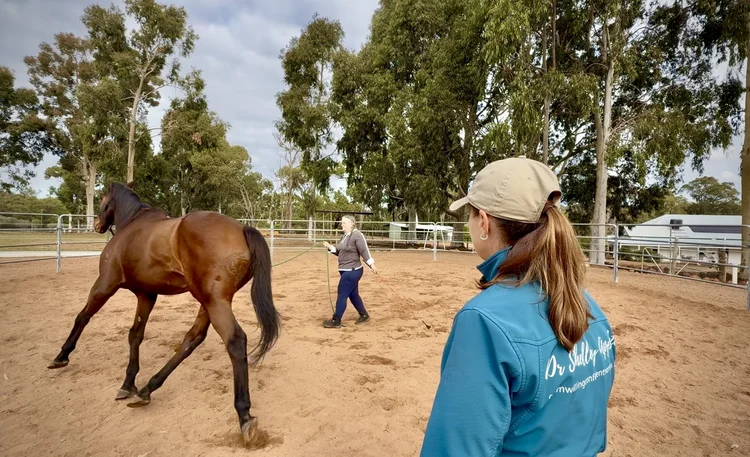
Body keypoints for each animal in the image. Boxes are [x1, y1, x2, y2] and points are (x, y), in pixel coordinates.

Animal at [47, 181, 280, 446]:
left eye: (103, 199)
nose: (97, 225)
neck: (133, 225)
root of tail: (242, 229)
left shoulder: (105, 283)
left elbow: (83, 316)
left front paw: (61, 356)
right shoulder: (146, 295)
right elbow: (135, 334)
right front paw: (128, 384)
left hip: (214, 303)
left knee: (235, 340)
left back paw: (244, 416)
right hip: (209, 302)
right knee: (192, 339)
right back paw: (147, 390)